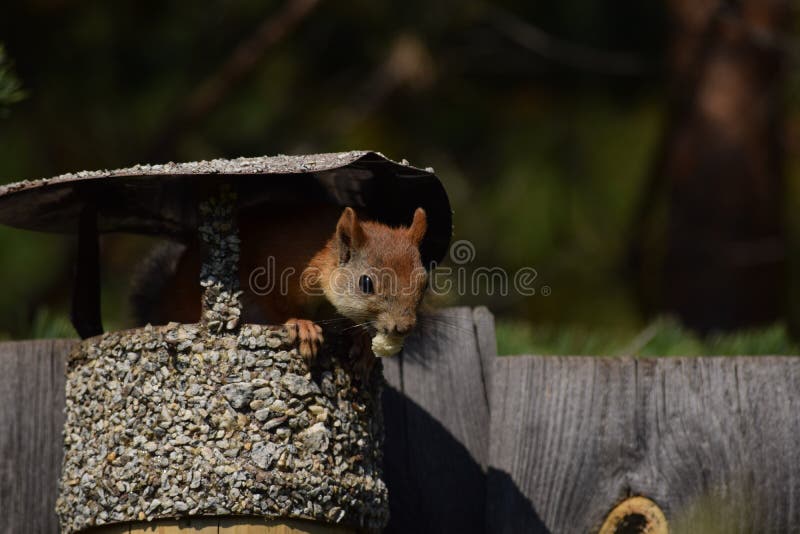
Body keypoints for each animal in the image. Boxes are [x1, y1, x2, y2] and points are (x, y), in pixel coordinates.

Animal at [132, 203, 429, 362]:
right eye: (366, 283)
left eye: (424, 283)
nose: (402, 327)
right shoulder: (264, 275)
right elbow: (273, 309)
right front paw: (301, 325)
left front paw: (361, 340)